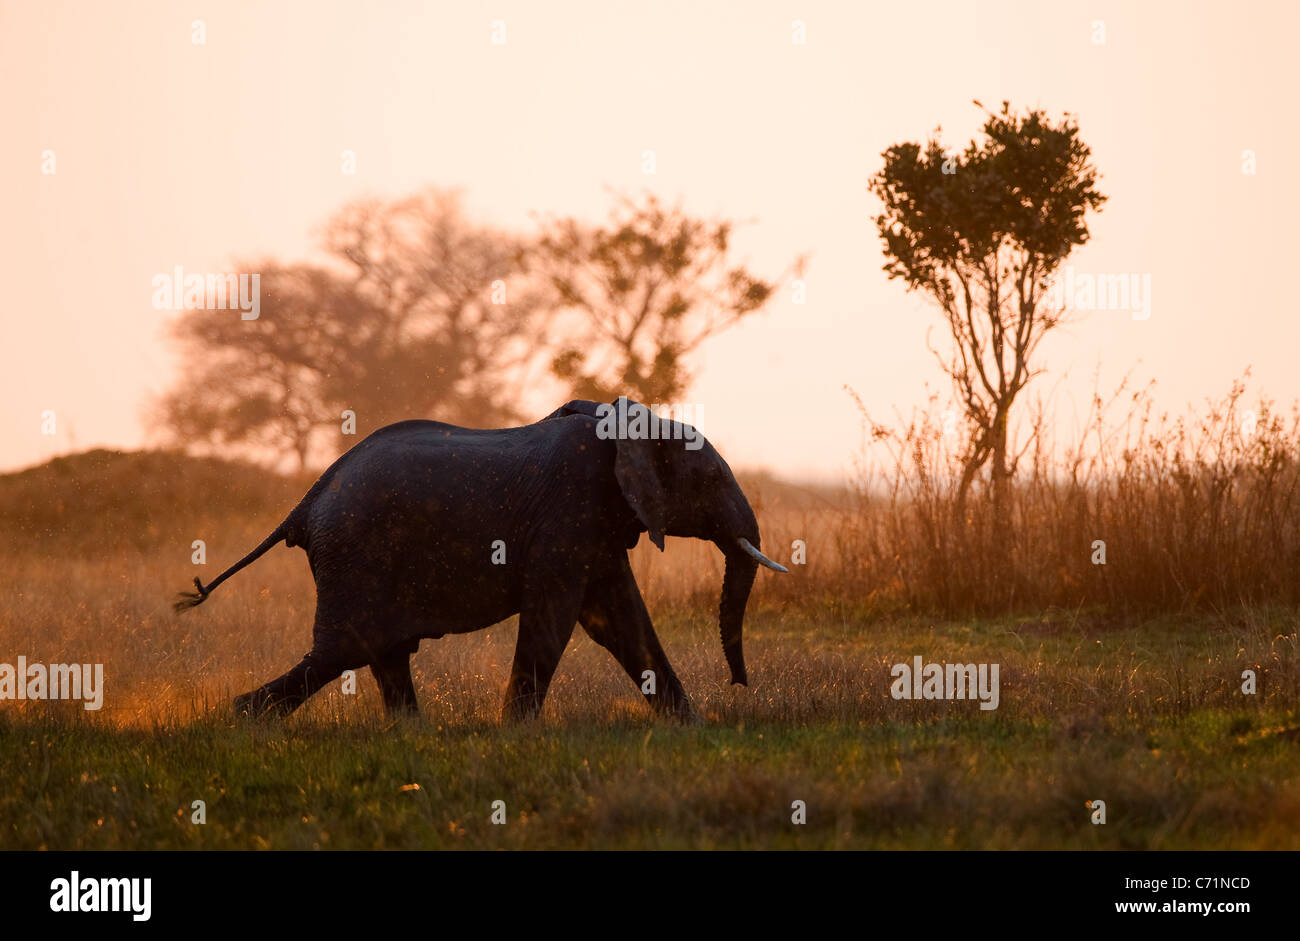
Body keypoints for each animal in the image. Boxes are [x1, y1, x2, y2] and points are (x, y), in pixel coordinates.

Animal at [174, 396, 788, 722]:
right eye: (711, 479)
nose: (739, 685)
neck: (623, 428)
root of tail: (305, 503)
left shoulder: (596, 526)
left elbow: (621, 621)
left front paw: (692, 728)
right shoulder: (568, 511)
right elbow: (556, 618)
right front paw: (513, 733)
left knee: (382, 652)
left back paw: (412, 734)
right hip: (357, 555)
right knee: (341, 651)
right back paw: (241, 719)